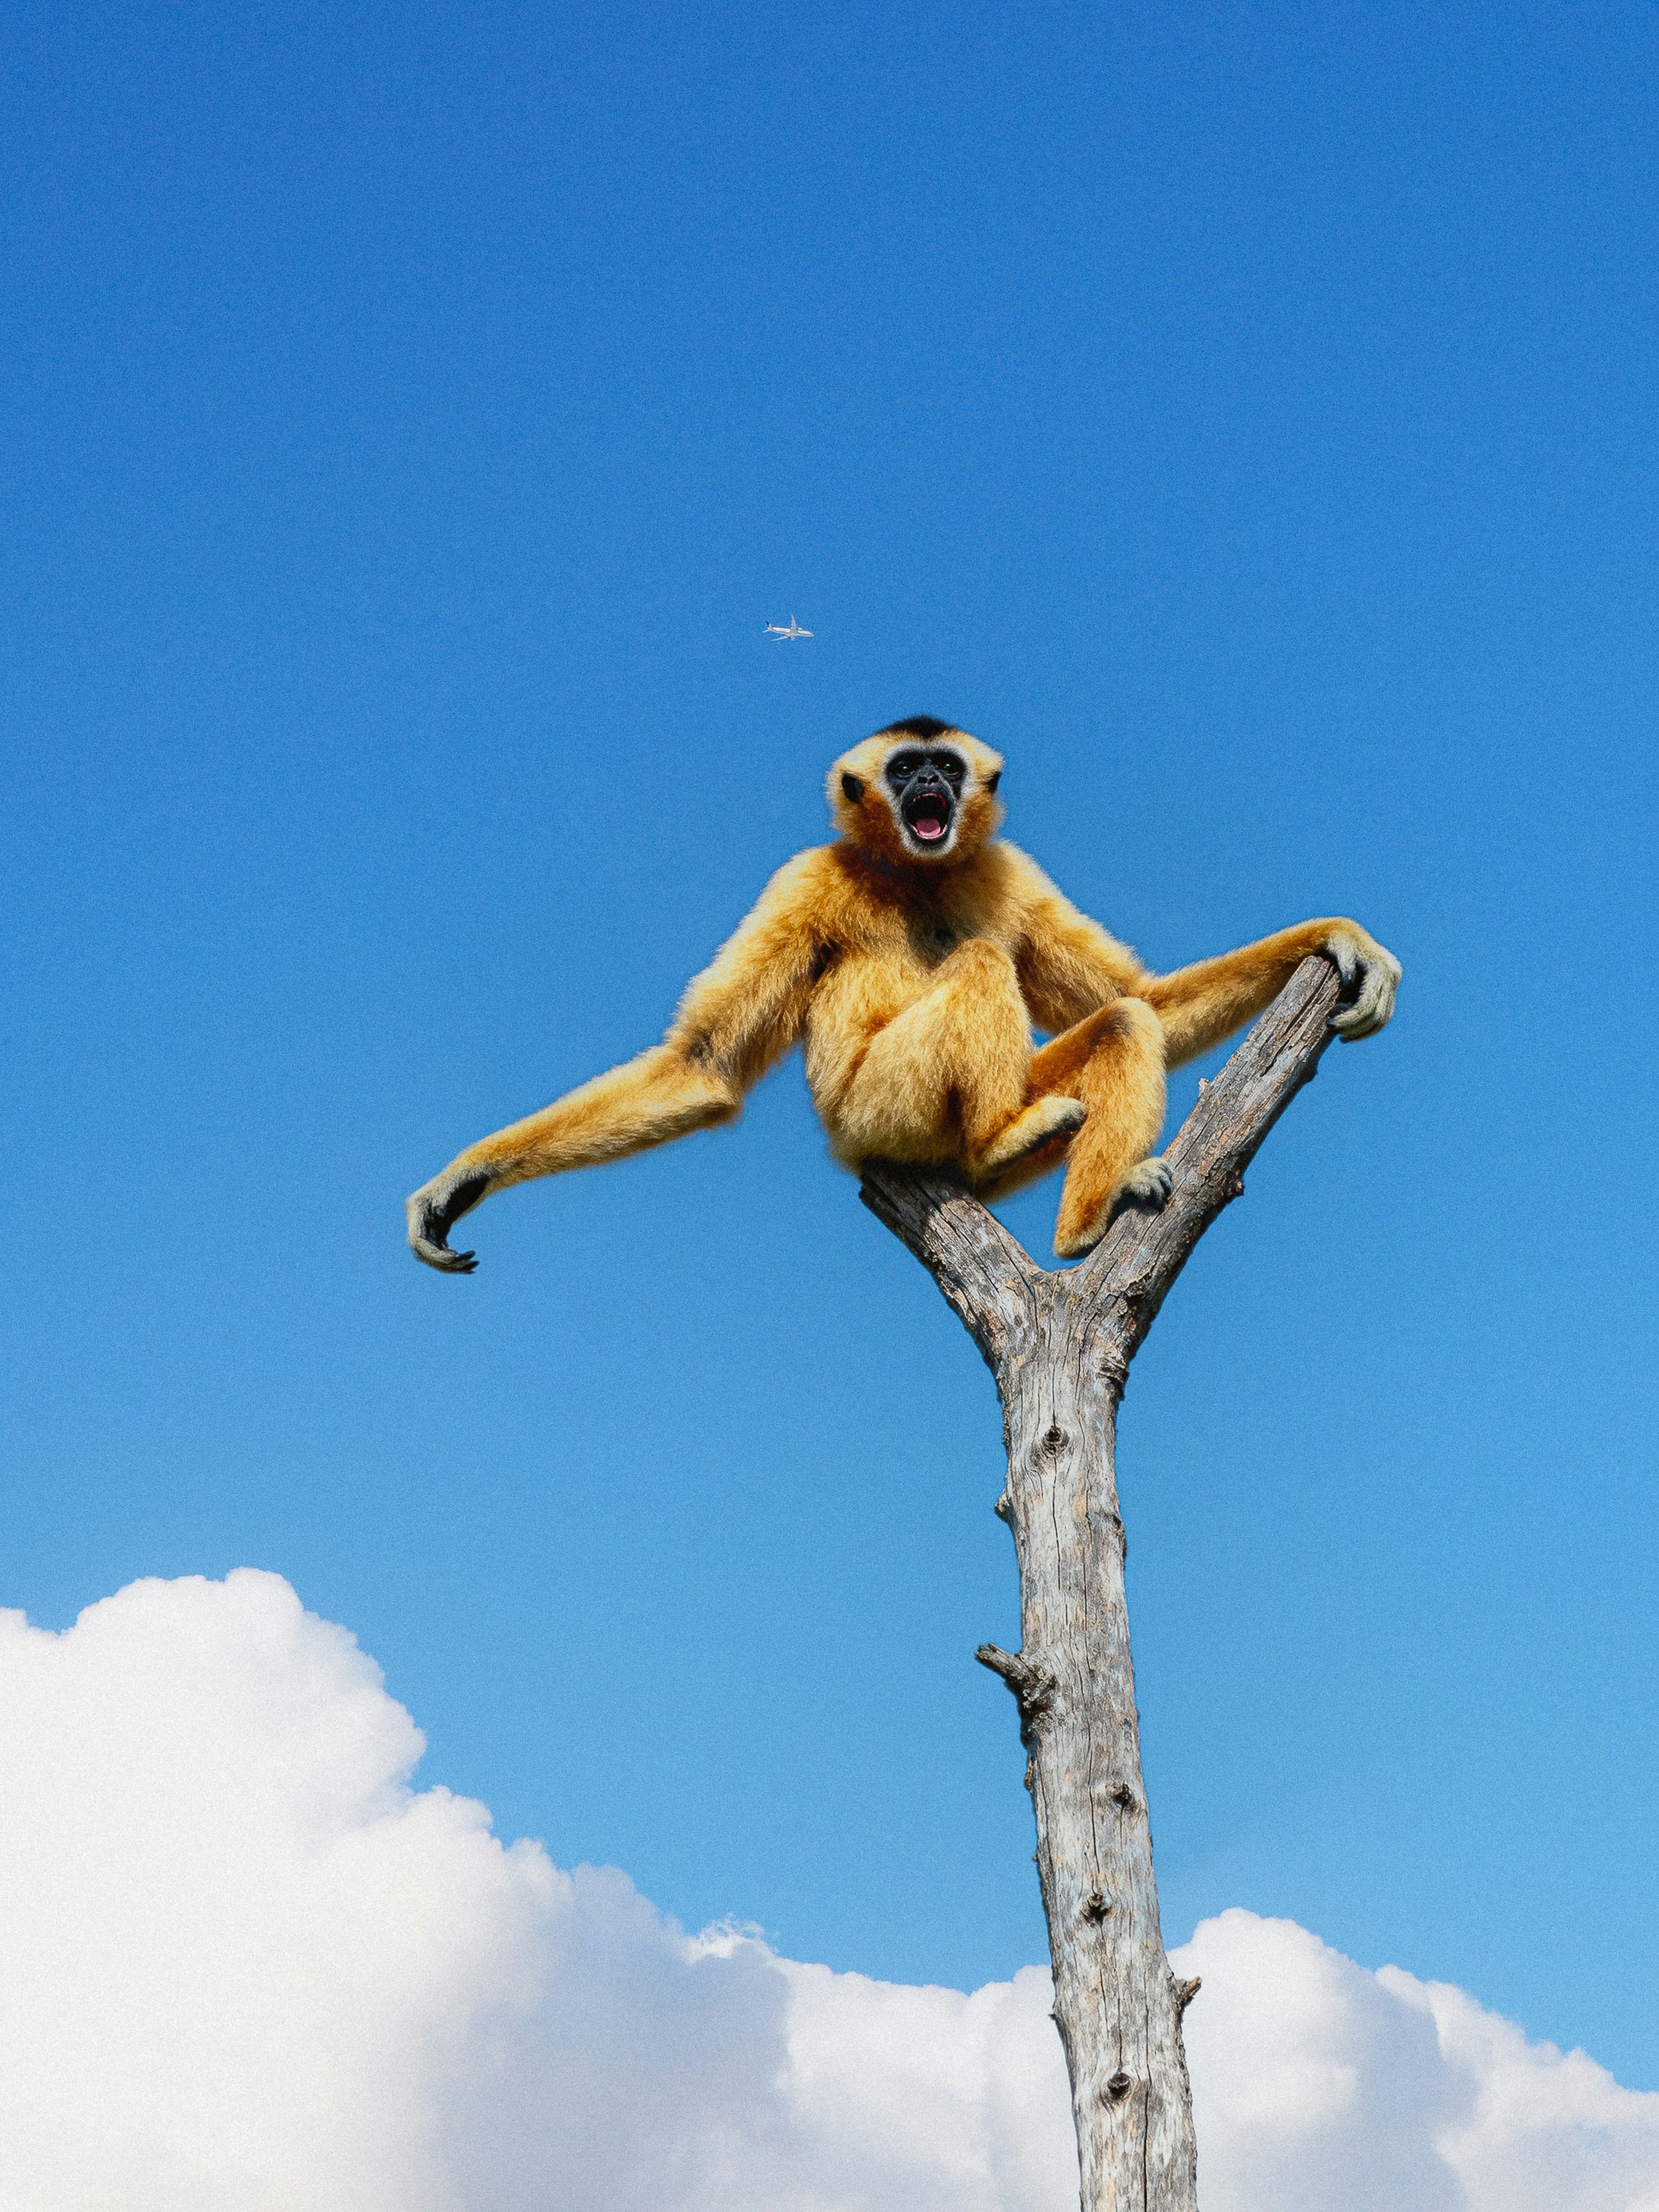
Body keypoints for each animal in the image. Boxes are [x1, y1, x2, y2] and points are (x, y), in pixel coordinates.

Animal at [407, 715, 1400, 1272]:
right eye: (904, 769)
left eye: (946, 770)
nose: (926, 784)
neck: (914, 874)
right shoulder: (804, 876)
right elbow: (703, 1067)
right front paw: (467, 1177)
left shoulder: (1006, 868)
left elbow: (1139, 996)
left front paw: (1333, 939)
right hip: (875, 1109)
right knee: (981, 966)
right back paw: (1012, 1145)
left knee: (1118, 1019)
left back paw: (1079, 1220)